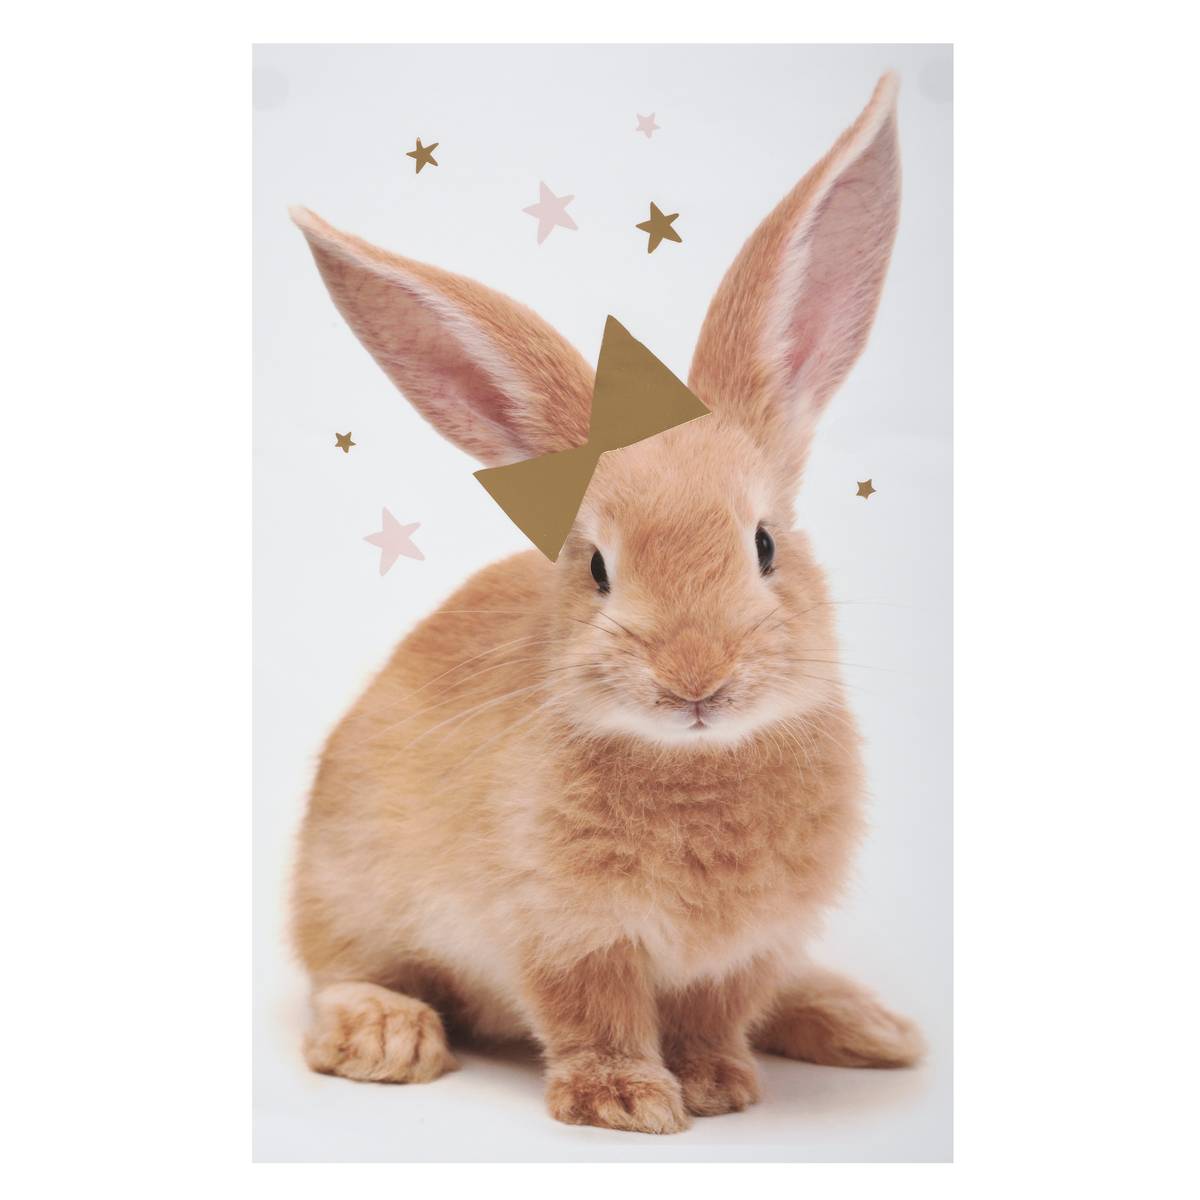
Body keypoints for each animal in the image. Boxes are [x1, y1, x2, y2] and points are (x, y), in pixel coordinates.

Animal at [289, 73, 923, 1135]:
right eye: (596, 568)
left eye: (763, 545)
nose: (695, 678)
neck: (695, 765)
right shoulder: (564, 931)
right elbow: (595, 1011)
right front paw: (627, 1102)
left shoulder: (744, 950)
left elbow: (717, 1012)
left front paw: (717, 1087)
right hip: (345, 886)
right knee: (338, 971)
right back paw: (386, 1035)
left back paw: (870, 1026)